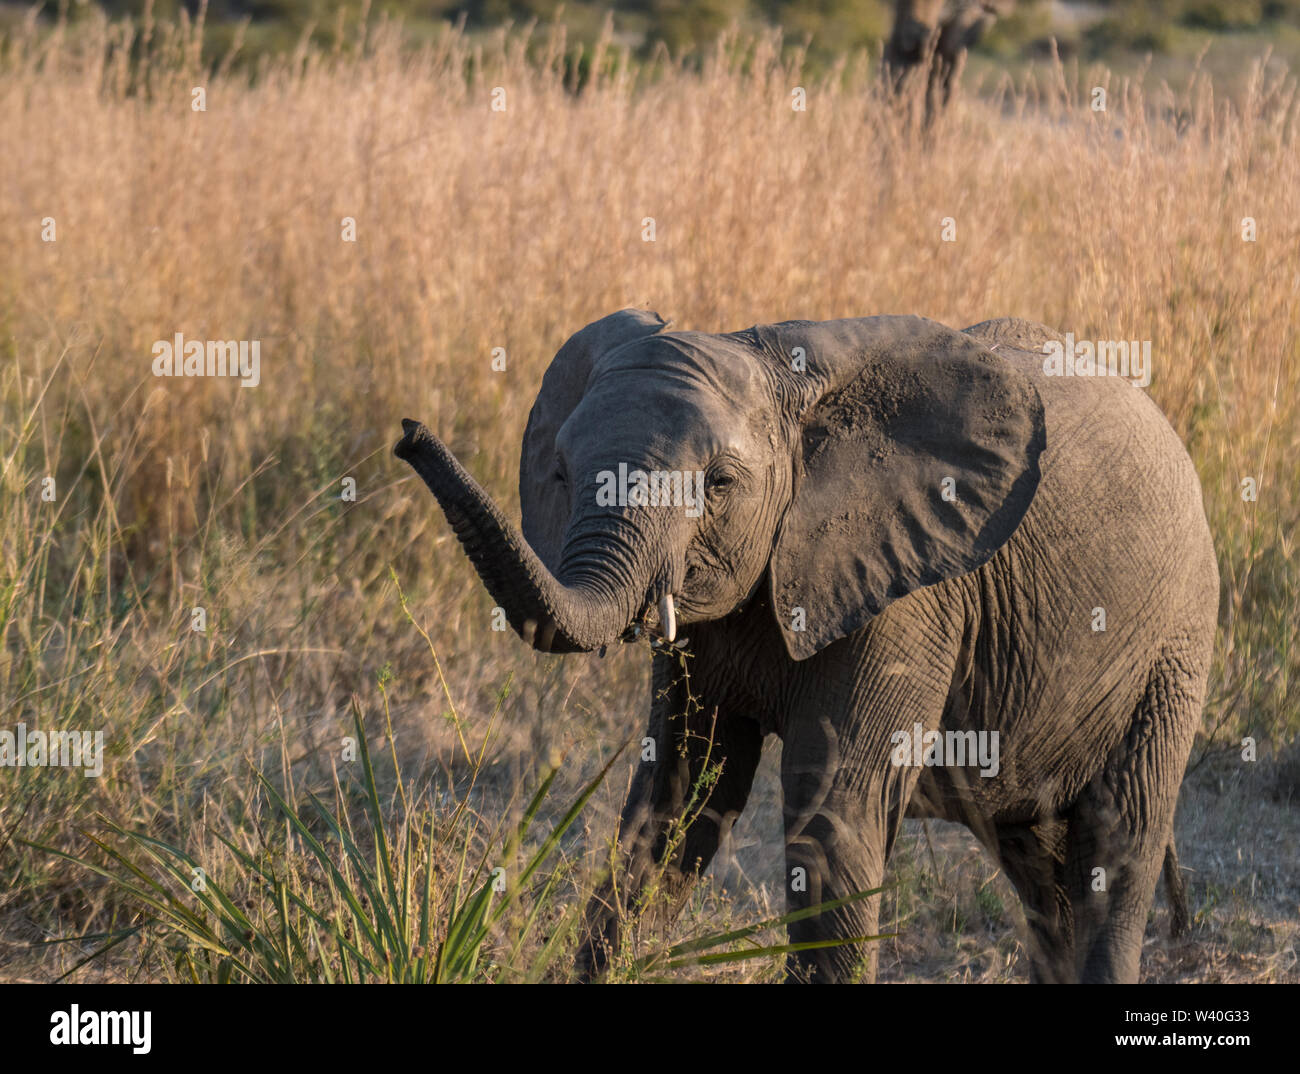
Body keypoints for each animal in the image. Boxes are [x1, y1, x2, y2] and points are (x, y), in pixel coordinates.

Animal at [394, 309, 1217, 983]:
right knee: (1039, 867)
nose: (406, 433)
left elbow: (830, 816)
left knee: (1117, 844)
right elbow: (676, 797)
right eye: (561, 475)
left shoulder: (907, 595)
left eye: (720, 484)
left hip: (1174, 643)